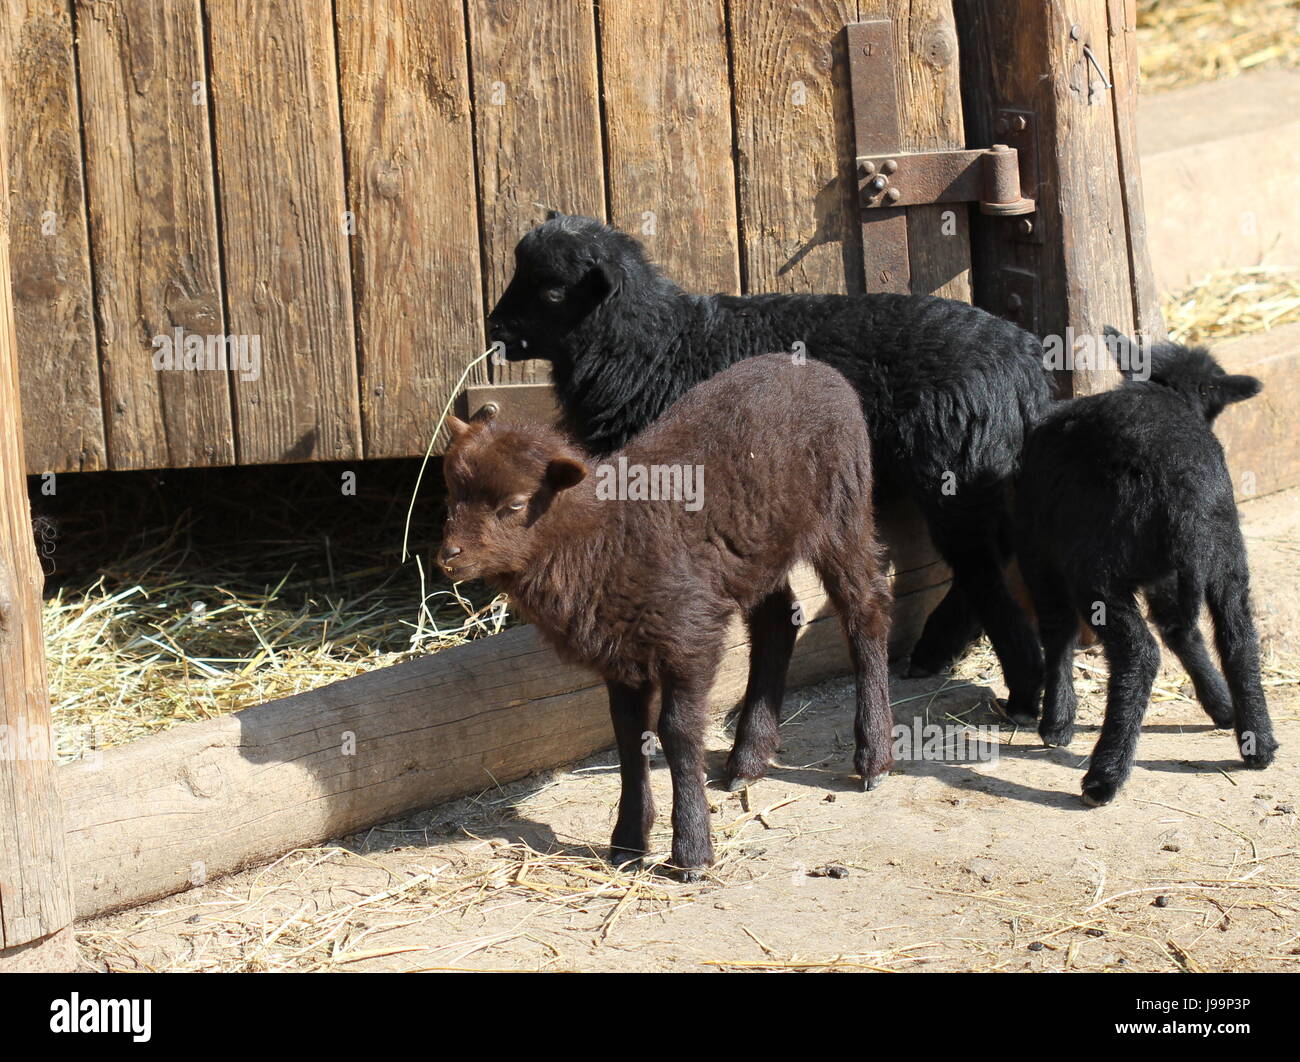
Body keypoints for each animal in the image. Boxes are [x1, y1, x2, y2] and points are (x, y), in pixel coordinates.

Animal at [438, 354, 892, 879]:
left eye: (514, 504)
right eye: (450, 495)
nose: (448, 558)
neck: (600, 536)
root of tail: (808, 363)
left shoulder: (689, 637)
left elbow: (677, 733)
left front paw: (692, 851)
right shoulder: (618, 653)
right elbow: (628, 735)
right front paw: (628, 843)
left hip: (842, 506)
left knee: (865, 609)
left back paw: (874, 757)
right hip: (757, 550)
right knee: (777, 622)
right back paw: (748, 760)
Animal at [485, 212, 1054, 758]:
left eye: (552, 291)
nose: (493, 327)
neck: (655, 349)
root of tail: (1029, 360)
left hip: (954, 476)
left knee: (984, 571)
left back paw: (1023, 693)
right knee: (989, 560)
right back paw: (940, 652)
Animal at [1015, 330, 1278, 806]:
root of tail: (1184, 494)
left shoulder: (1038, 547)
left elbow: (1057, 629)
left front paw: (1057, 722)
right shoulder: (1168, 574)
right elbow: (1183, 630)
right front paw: (1219, 704)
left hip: (1098, 568)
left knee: (1139, 654)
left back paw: (1104, 776)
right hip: (1226, 555)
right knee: (1238, 638)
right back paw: (1258, 744)